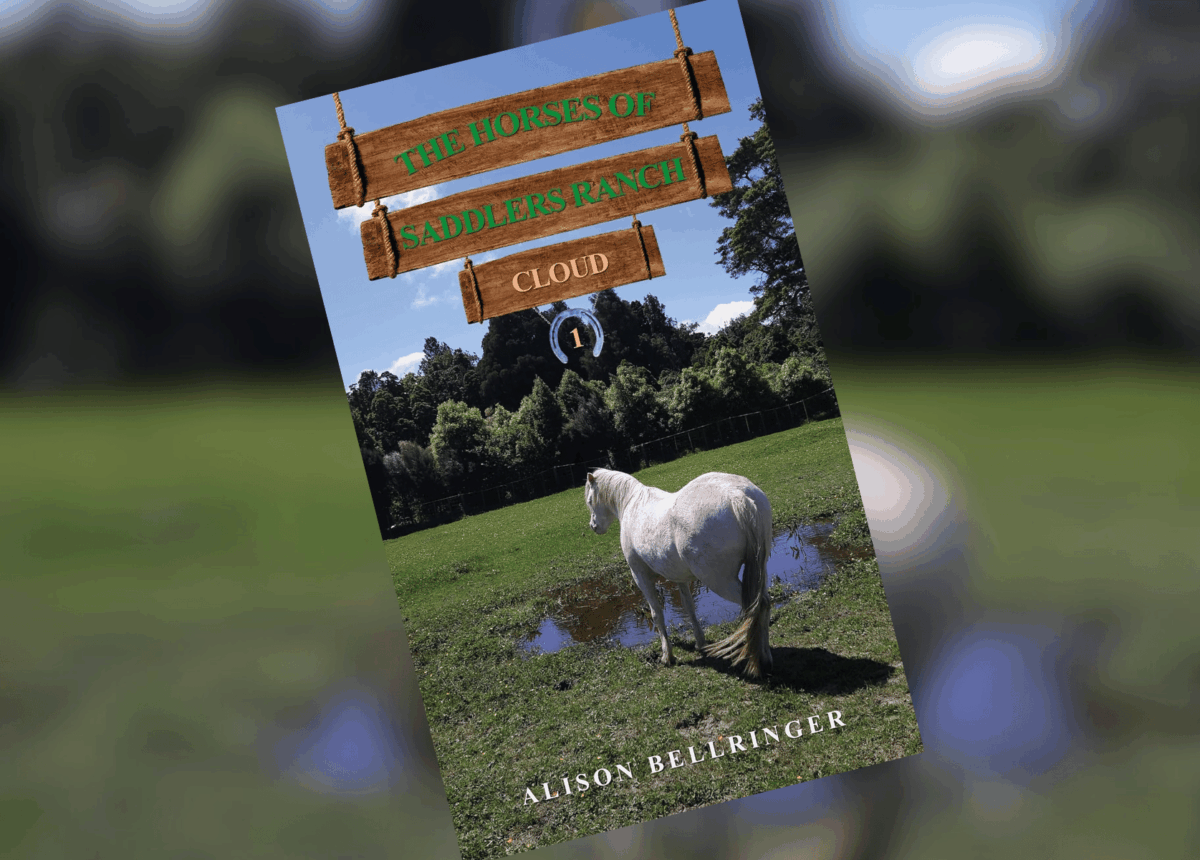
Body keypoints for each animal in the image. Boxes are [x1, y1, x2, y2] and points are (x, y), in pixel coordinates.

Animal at [584, 468, 773, 678]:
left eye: (590, 500)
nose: (593, 526)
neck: (633, 504)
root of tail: (737, 496)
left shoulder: (640, 576)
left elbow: (656, 614)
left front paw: (667, 656)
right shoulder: (679, 578)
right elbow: (689, 608)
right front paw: (700, 642)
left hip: (719, 581)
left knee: (757, 605)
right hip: (759, 570)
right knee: (764, 603)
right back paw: (766, 656)